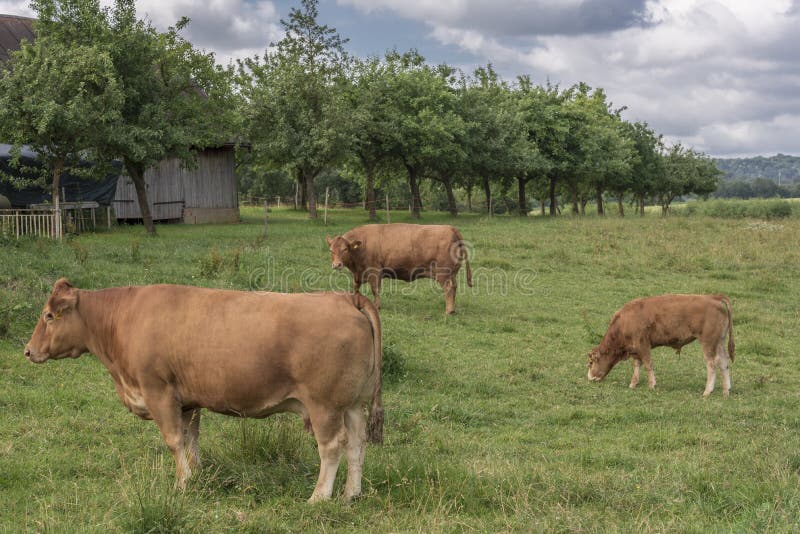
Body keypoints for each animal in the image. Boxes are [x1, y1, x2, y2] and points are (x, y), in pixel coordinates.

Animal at [24, 279, 383, 502]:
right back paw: (351, 494)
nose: (28, 351)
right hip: (352, 404)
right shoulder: (187, 401)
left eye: (49, 315)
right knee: (356, 444)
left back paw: (319, 497)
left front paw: (182, 483)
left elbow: (173, 440)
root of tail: (345, 297)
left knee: (332, 446)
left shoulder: (158, 391)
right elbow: (190, 439)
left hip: (324, 405)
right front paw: (197, 475)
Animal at [326, 223, 473, 315]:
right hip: (452, 272)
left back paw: (449, 311)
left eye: (345, 249)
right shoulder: (358, 274)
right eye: (331, 250)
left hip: (443, 273)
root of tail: (449, 227)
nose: (336, 265)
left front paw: (377, 306)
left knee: (448, 288)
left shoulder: (374, 271)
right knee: (454, 287)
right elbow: (355, 288)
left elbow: (375, 290)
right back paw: (452, 308)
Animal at [586, 294, 734, 397]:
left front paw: (652, 385)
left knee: (712, 364)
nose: (590, 378)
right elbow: (637, 365)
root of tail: (713, 297)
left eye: (591, 362)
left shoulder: (643, 344)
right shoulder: (635, 349)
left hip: (708, 343)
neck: (624, 321)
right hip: (719, 342)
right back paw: (726, 391)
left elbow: (648, 364)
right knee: (723, 363)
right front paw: (633, 383)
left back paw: (707, 391)